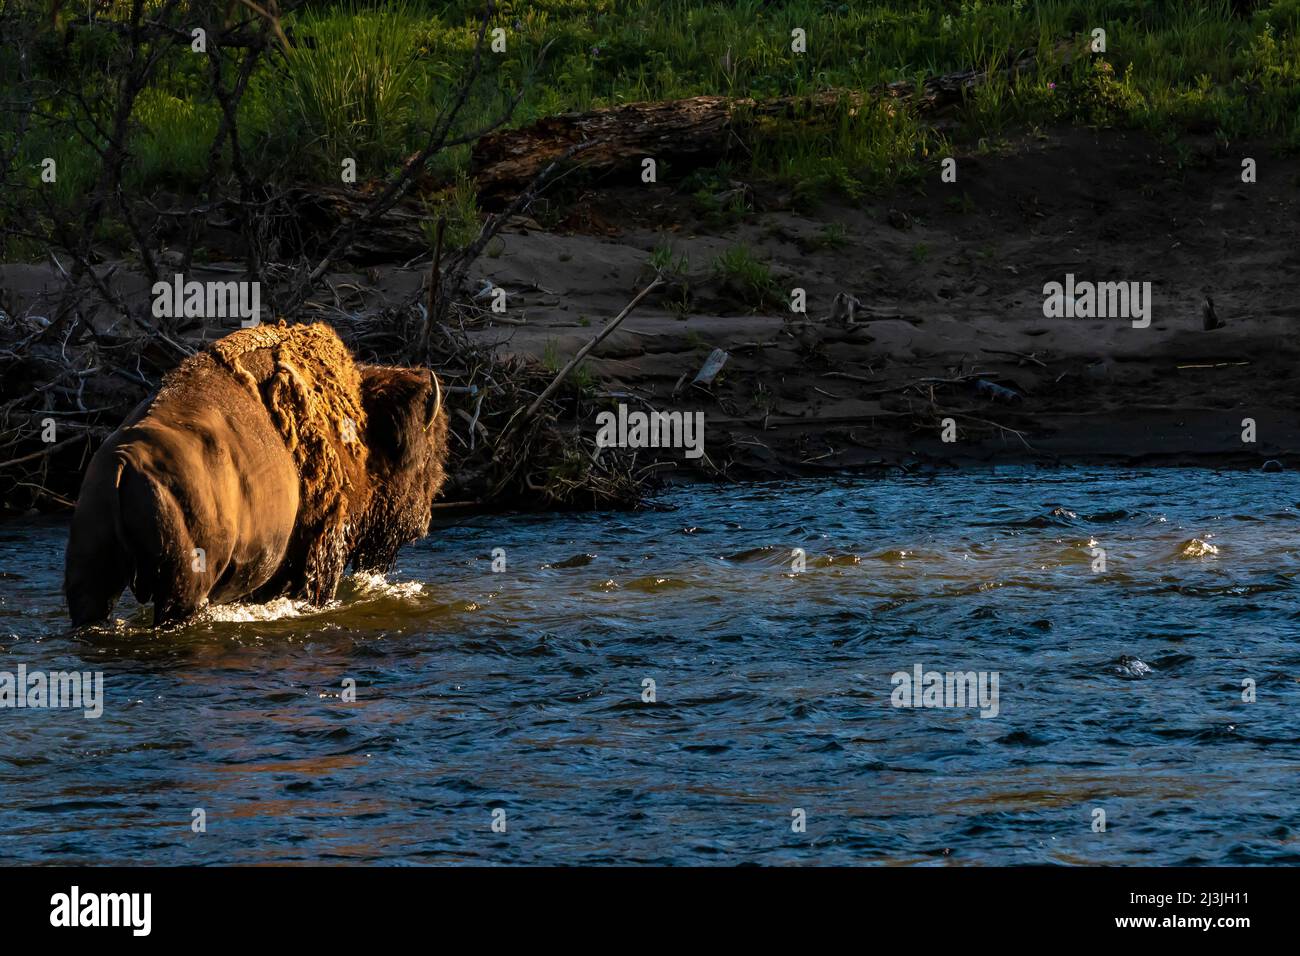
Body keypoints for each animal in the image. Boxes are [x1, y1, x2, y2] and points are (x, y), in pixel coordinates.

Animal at [64, 321, 449, 626]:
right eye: (425, 458)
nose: (421, 524)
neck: (362, 426)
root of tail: (121, 463)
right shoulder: (322, 552)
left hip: (91, 580)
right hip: (182, 591)